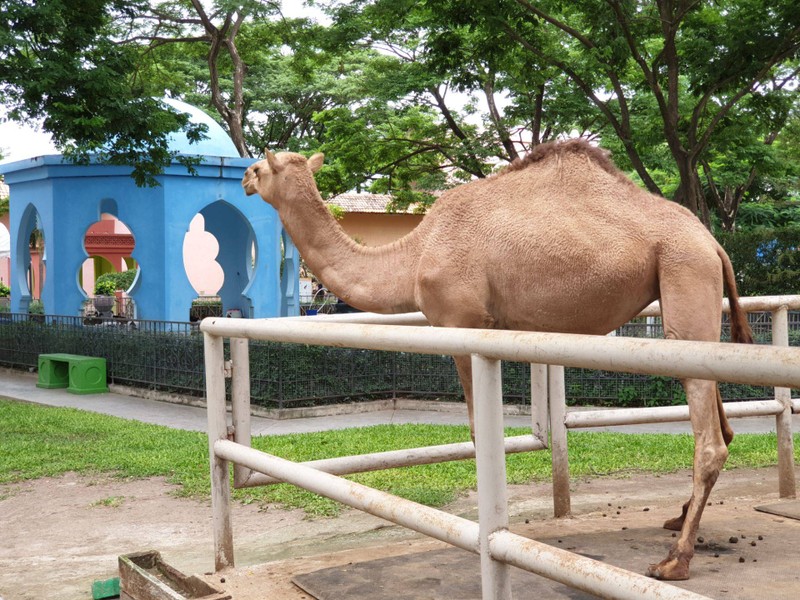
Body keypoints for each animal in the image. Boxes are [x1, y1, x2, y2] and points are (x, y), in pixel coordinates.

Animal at [242, 139, 753, 581]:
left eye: (261, 166)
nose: (245, 178)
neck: (414, 254)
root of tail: (714, 243)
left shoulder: (464, 323)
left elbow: (477, 433)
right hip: (690, 287)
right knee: (724, 425)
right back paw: (680, 519)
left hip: (684, 271)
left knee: (711, 440)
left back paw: (674, 561)